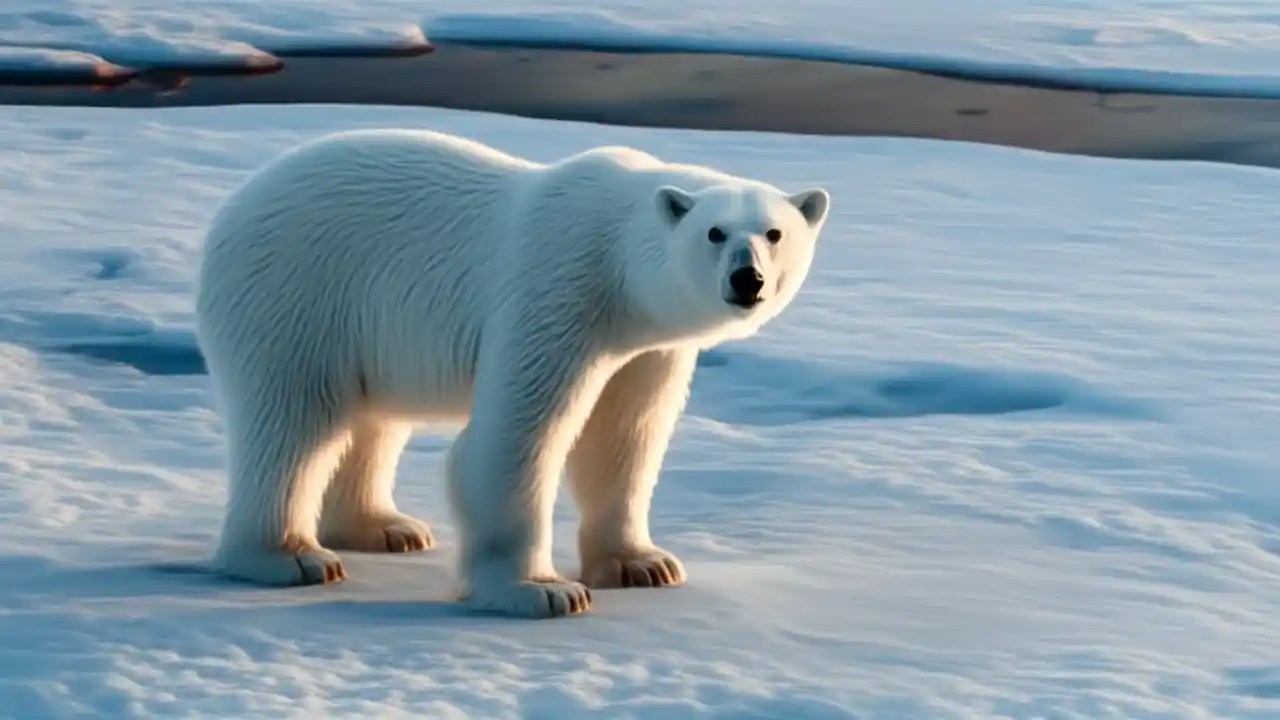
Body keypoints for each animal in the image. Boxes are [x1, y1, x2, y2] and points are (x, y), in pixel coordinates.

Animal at [195, 128, 831, 618]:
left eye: (774, 233)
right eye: (714, 232)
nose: (747, 279)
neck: (617, 268)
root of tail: (231, 211)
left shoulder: (647, 349)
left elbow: (624, 438)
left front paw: (643, 563)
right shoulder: (557, 293)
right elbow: (517, 434)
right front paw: (541, 591)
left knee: (373, 419)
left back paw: (386, 528)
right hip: (296, 292)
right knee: (294, 421)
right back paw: (290, 556)